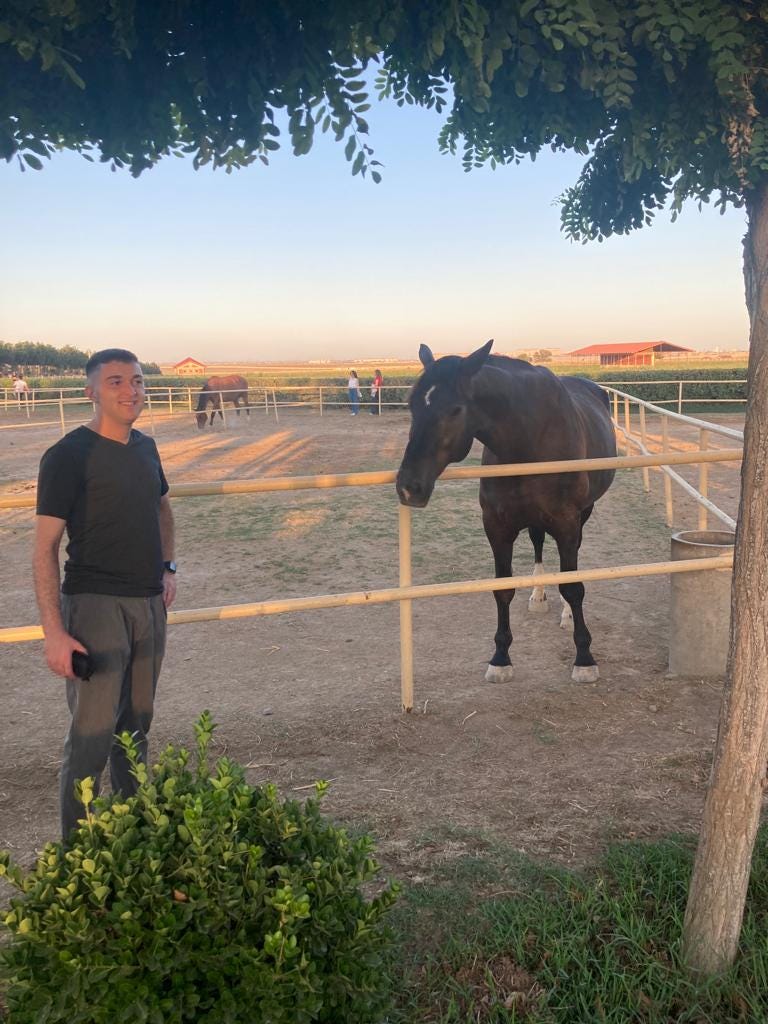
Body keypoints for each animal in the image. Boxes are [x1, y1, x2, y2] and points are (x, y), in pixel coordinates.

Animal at [395, 339, 616, 684]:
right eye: (412, 406)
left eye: (455, 409)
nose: (409, 487)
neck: (529, 439)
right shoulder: (497, 527)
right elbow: (502, 589)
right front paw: (500, 657)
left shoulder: (567, 523)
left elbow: (572, 587)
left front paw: (584, 657)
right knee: (538, 543)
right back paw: (538, 597)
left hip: (584, 513)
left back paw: (567, 615)